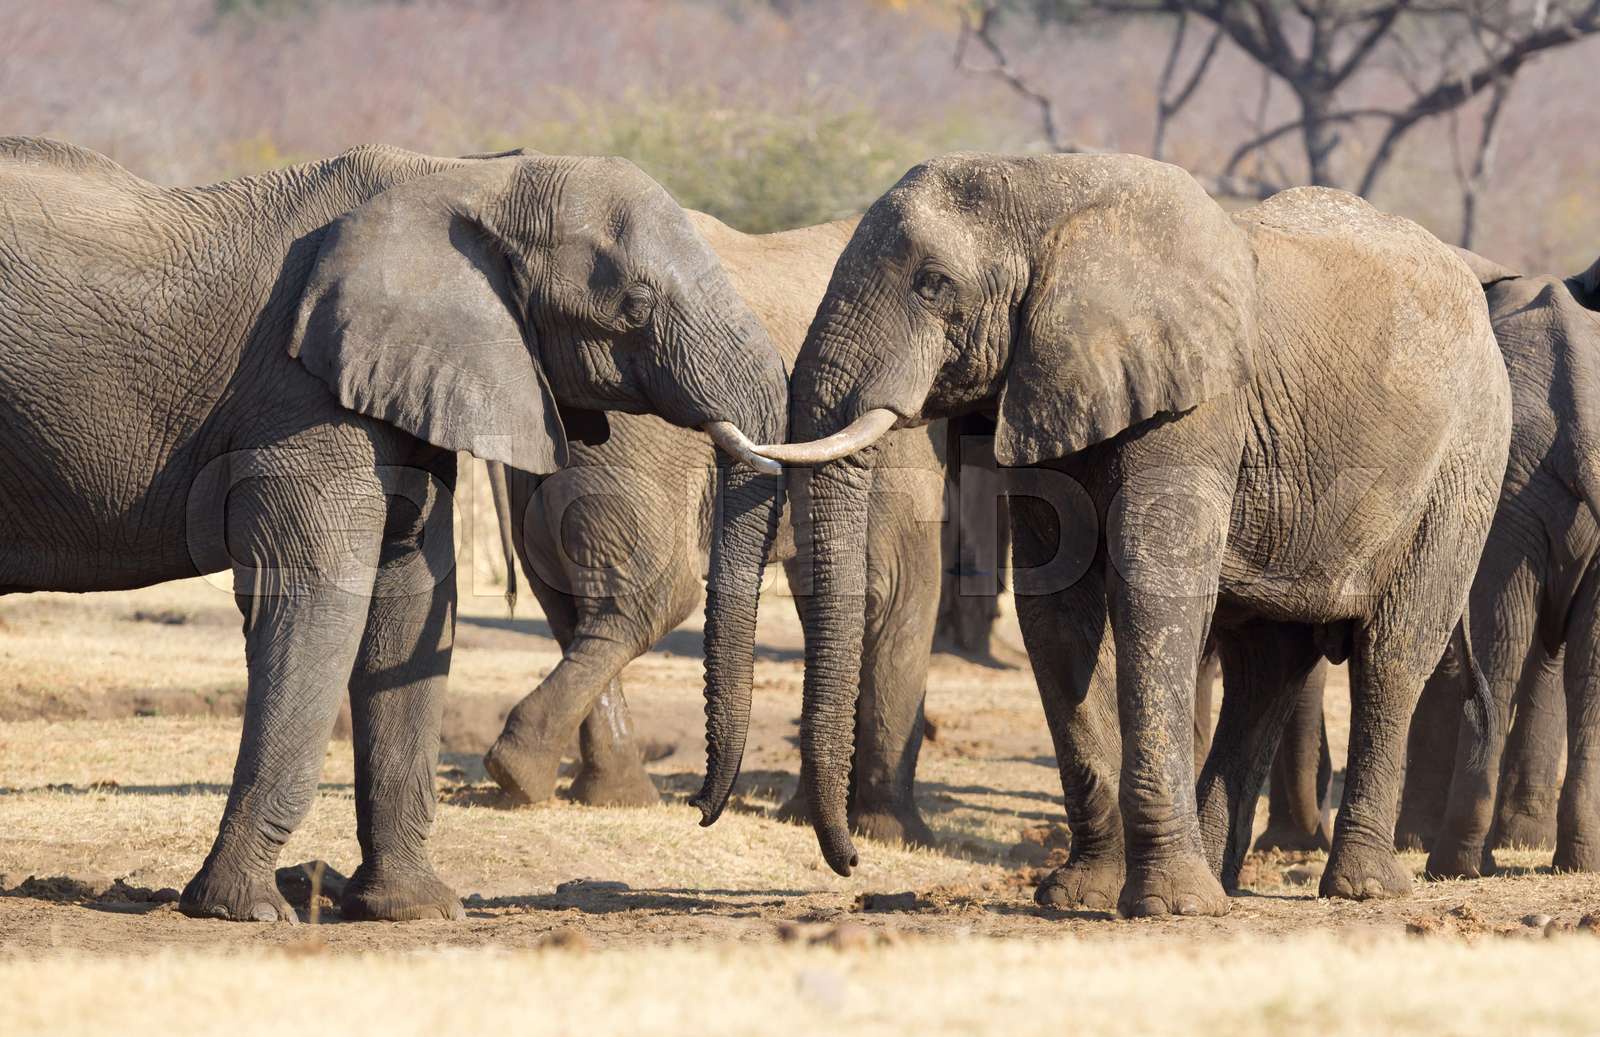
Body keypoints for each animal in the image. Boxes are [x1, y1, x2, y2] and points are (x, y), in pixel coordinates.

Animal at [0, 137, 788, 922]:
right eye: (635, 305)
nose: (701, 813)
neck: (468, 177)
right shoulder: (303, 395)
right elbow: (319, 595)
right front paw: (245, 910)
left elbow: (413, 595)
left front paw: (416, 909)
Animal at [479, 212, 945, 847]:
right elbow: (894, 594)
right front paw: (894, 836)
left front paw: (813, 819)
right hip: (632, 446)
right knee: (652, 598)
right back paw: (525, 775)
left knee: (565, 602)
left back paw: (602, 794)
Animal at [708, 152, 1511, 917]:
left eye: (933, 284)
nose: (850, 863)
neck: (1049, 191)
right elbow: (1057, 612)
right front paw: (1082, 895)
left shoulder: (1195, 403)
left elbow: (1156, 588)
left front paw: (1164, 907)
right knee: (1266, 668)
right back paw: (1222, 882)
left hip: (1464, 468)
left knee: (1393, 654)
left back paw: (1359, 889)